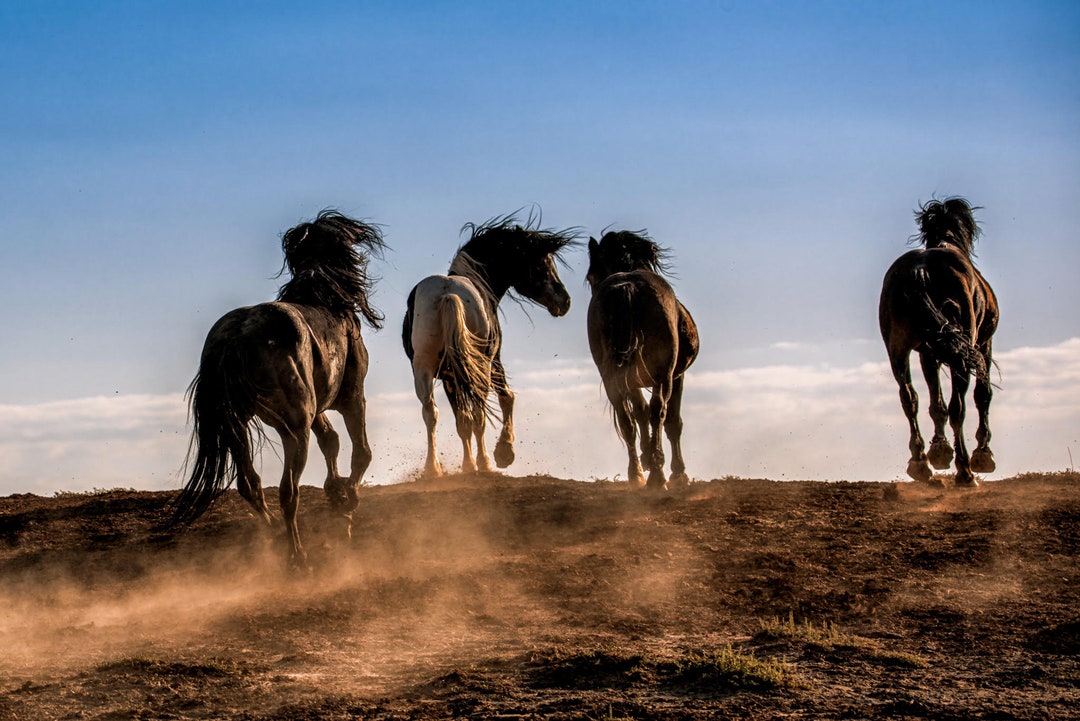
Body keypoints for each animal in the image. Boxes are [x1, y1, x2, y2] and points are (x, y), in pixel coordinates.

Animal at [171, 210, 387, 565]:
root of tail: (235, 338)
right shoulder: (353, 398)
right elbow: (361, 453)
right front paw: (347, 506)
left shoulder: (316, 408)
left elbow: (331, 441)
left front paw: (336, 495)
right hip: (293, 431)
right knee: (288, 491)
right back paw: (297, 557)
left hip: (239, 424)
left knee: (250, 483)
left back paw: (272, 531)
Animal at [403, 212, 577, 478]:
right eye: (543, 263)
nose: (564, 301)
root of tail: (447, 294)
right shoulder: (494, 360)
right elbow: (506, 397)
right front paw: (504, 452)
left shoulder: (449, 376)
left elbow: (461, 420)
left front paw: (467, 465)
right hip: (480, 366)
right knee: (480, 412)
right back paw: (485, 463)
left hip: (424, 368)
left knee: (432, 412)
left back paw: (433, 469)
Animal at [586, 230, 700, 489]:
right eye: (590, 277)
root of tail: (627, 287)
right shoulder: (677, 376)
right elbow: (671, 422)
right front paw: (678, 473)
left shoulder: (631, 380)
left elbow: (639, 413)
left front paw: (647, 456)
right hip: (663, 374)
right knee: (659, 412)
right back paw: (657, 477)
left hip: (614, 376)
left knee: (626, 420)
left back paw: (636, 474)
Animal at [879, 197, 999, 487]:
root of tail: (920, 270)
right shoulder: (983, 345)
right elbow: (982, 395)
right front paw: (983, 455)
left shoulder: (927, 353)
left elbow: (936, 403)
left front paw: (939, 450)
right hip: (962, 354)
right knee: (959, 408)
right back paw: (965, 472)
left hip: (898, 351)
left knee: (909, 399)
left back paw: (920, 463)